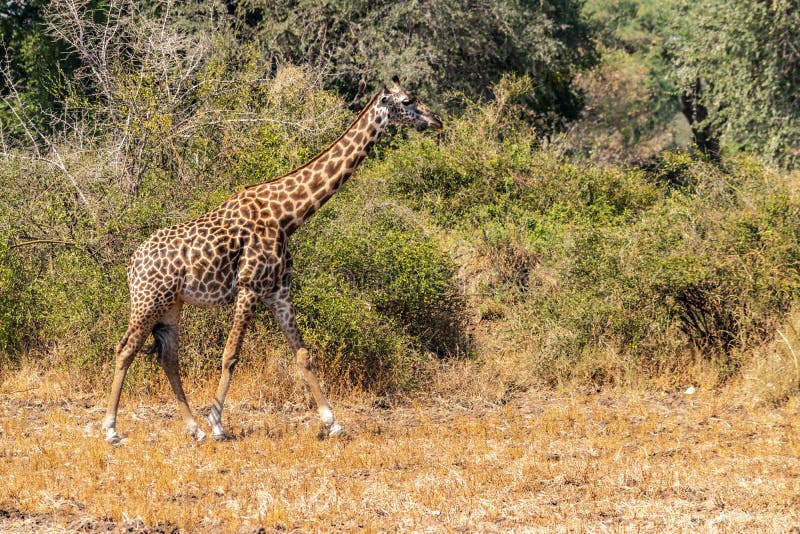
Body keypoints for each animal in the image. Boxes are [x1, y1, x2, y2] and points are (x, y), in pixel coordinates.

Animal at [101, 77, 442, 444]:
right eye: (408, 101)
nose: (437, 120)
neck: (286, 216)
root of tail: (131, 265)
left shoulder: (278, 291)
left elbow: (303, 355)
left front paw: (333, 422)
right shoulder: (249, 287)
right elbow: (230, 355)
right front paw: (218, 424)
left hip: (172, 305)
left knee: (168, 358)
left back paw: (193, 429)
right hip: (148, 299)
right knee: (125, 349)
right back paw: (112, 429)